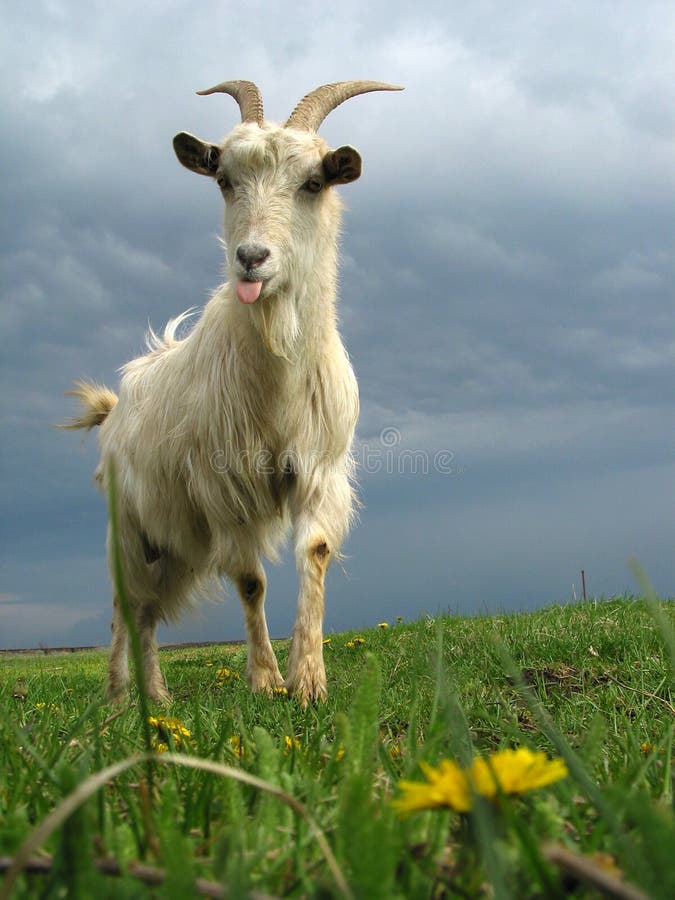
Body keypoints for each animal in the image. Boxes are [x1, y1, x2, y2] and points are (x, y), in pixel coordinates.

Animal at [63, 79, 402, 704]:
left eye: (314, 182)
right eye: (223, 179)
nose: (251, 258)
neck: (277, 380)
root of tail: (115, 408)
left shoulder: (319, 470)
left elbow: (314, 553)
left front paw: (309, 680)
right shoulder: (226, 488)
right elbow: (250, 581)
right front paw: (266, 681)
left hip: (176, 540)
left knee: (147, 612)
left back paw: (157, 697)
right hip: (131, 528)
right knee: (127, 607)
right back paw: (122, 699)